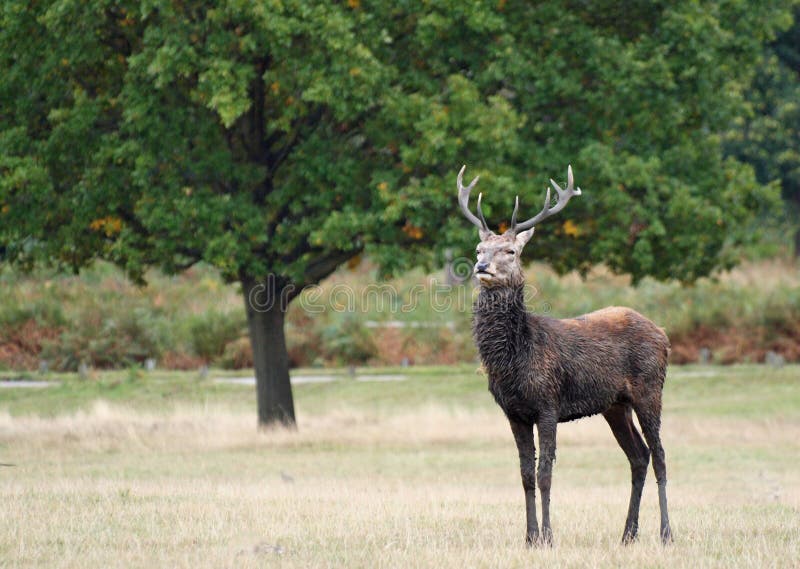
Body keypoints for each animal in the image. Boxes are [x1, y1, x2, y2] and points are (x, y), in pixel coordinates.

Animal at [457, 165, 673, 546]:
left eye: (511, 251)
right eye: (479, 247)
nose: (481, 266)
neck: (516, 359)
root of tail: (663, 334)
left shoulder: (548, 403)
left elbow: (545, 474)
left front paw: (548, 537)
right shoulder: (513, 412)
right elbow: (525, 474)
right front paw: (529, 538)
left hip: (650, 389)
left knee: (660, 455)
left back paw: (665, 533)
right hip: (615, 405)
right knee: (638, 456)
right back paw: (628, 534)